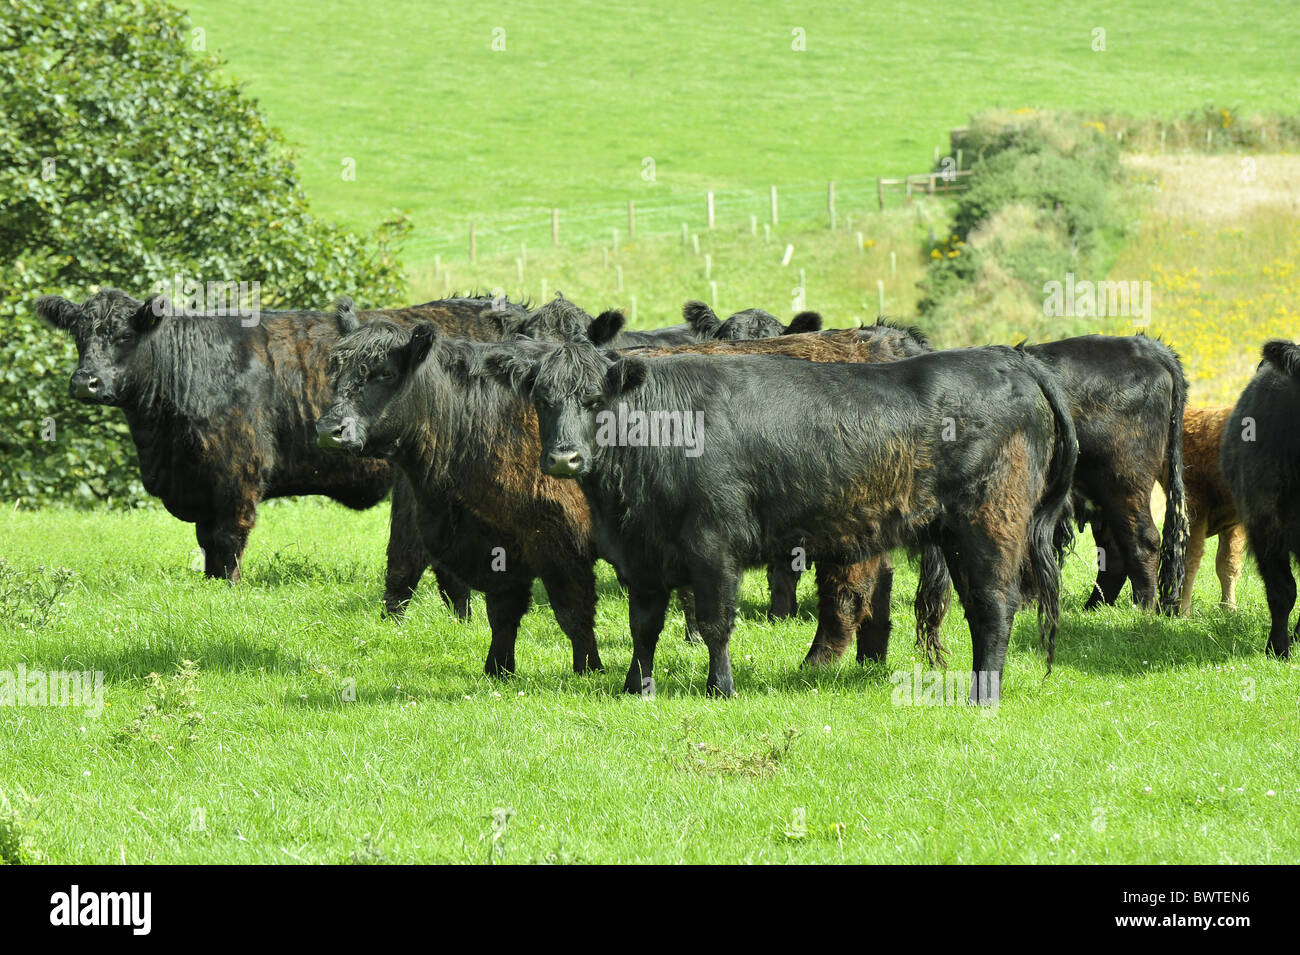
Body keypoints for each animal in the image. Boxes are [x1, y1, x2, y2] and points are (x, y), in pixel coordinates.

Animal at [35, 288, 528, 616]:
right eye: (79, 335)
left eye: (123, 336)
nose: (85, 381)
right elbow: (207, 547)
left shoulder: (236, 475)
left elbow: (226, 543)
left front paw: (226, 596)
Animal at [484, 335, 1078, 700]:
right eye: (542, 398)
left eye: (593, 399)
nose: (564, 458)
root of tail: (1008, 356)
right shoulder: (642, 555)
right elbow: (643, 625)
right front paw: (636, 686)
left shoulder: (713, 545)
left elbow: (715, 622)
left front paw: (719, 688)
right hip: (955, 533)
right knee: (979, 606)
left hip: (992, 522)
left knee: (994, 605)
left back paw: (983, 695)